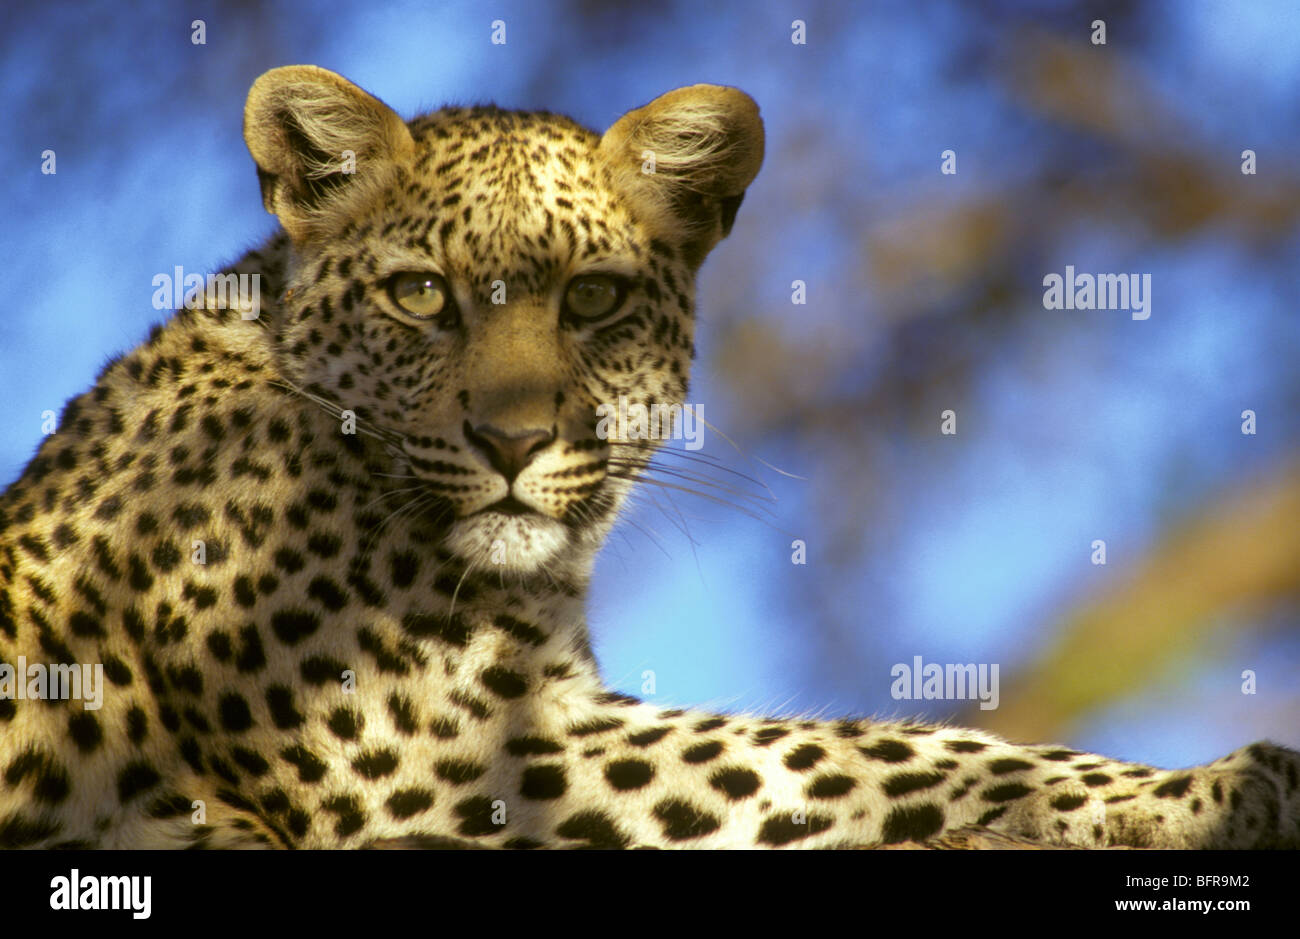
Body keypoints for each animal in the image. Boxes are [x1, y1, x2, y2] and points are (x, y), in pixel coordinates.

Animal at [0, 64, 1296, 850]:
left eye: (594, 299)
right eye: (420, 296)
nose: (513, 439)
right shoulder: (454, 757)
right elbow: (857, 755)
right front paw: (1203, 790)